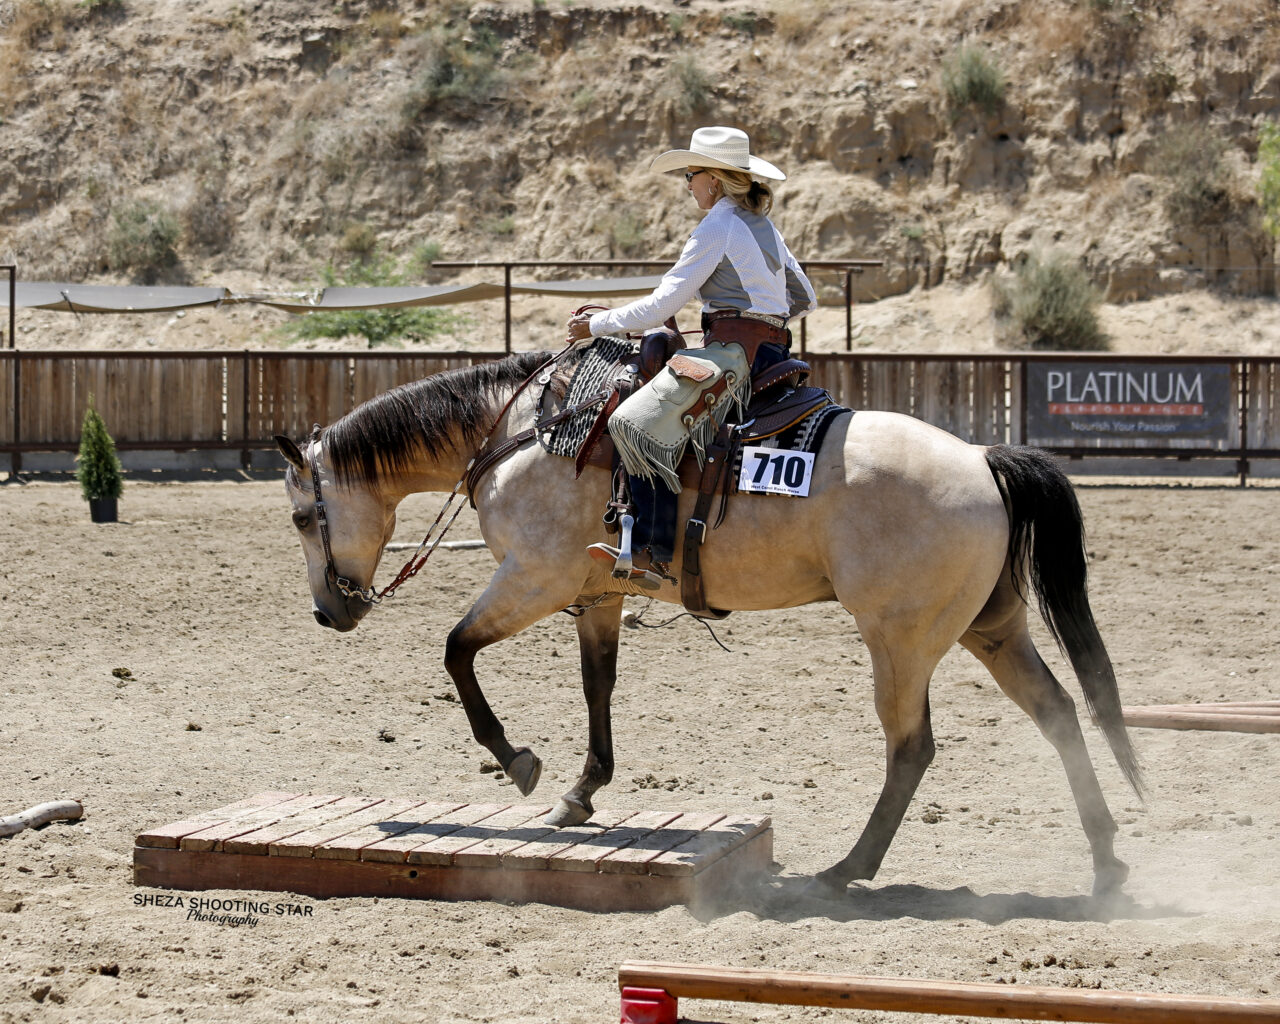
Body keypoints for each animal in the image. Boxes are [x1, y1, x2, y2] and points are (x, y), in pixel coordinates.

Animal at [274, 347, 1144, 897]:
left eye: (300, 518)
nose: (328, 611)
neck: (526, 434)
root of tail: (982, 460)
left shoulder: (533, 578)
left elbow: (456, 651)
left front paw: (519, 762)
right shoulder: (597, 593)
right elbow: (598, 688)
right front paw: (580, 794)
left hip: (901, 640)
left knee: (913, 748)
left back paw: (847, 869)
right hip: (990, 628)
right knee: (1059, 713)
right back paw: (1105, 862)